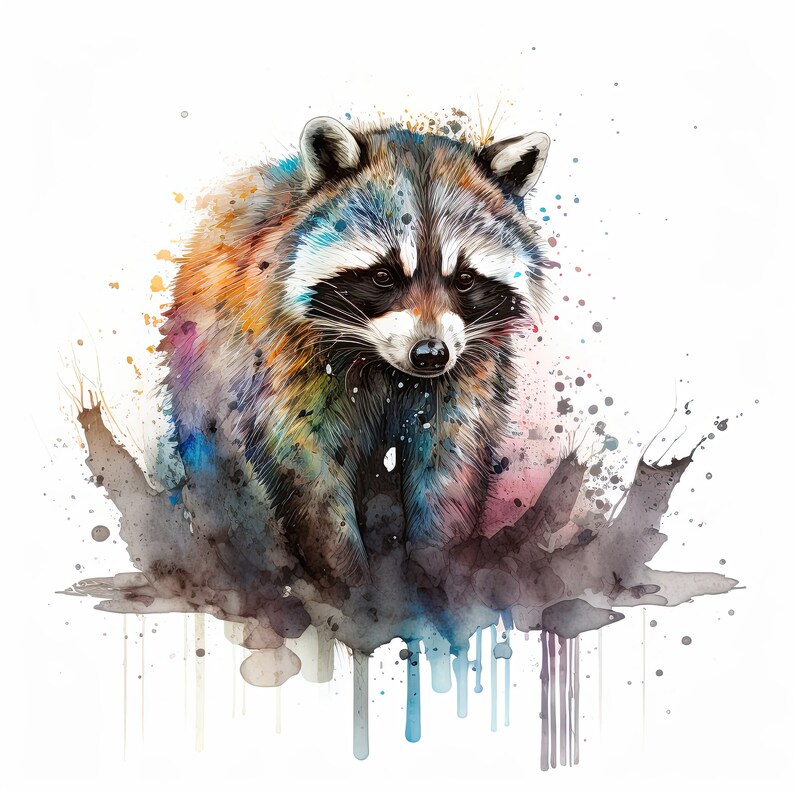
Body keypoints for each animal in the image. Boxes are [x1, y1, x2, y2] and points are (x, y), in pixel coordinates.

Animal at [160, 116, 551, 586]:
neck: (386, 366)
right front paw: (349, 582)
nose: (430, 354)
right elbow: (306, 468)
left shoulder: (468, 369)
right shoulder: (277, 358)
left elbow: (450, 463)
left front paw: (435, 568)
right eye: (383, 276)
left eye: (464, 279)